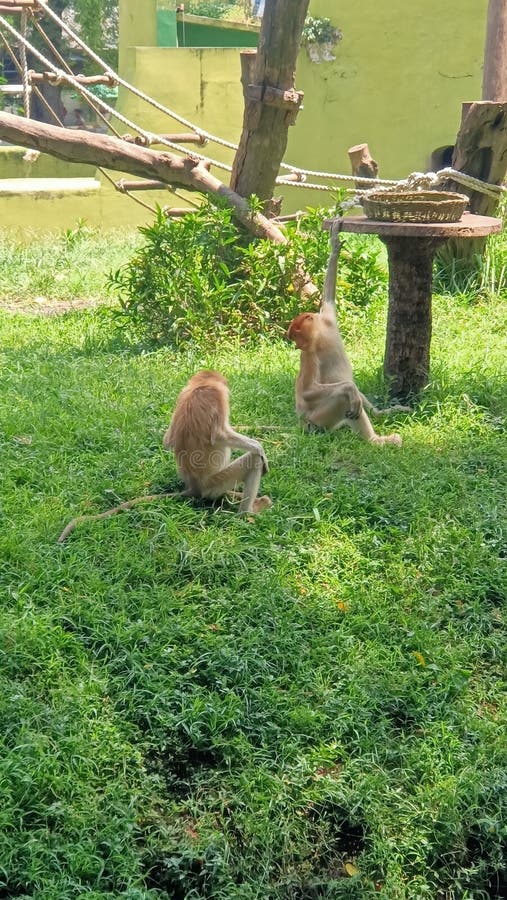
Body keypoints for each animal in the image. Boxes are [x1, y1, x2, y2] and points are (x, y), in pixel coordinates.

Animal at [57, 370, 271, 542]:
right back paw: (247, 514)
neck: (200, 385)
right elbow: (220, 436)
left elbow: (167, 440)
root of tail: (193, 487)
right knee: (252, 461)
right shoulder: (216, 396)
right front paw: (259, 448)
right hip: (213, 484)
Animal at [286, 222, 410, 446]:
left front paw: (335, 245)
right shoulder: (308, 354)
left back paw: (382, 413)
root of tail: (303, 423)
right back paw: (377, 440)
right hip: (318, 420)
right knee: (344, 399)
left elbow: (328, 297)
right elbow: (307, 391)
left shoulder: (328, 319)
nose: (297, 345)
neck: (321, 337)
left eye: (296, 336)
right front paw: (349, 389)